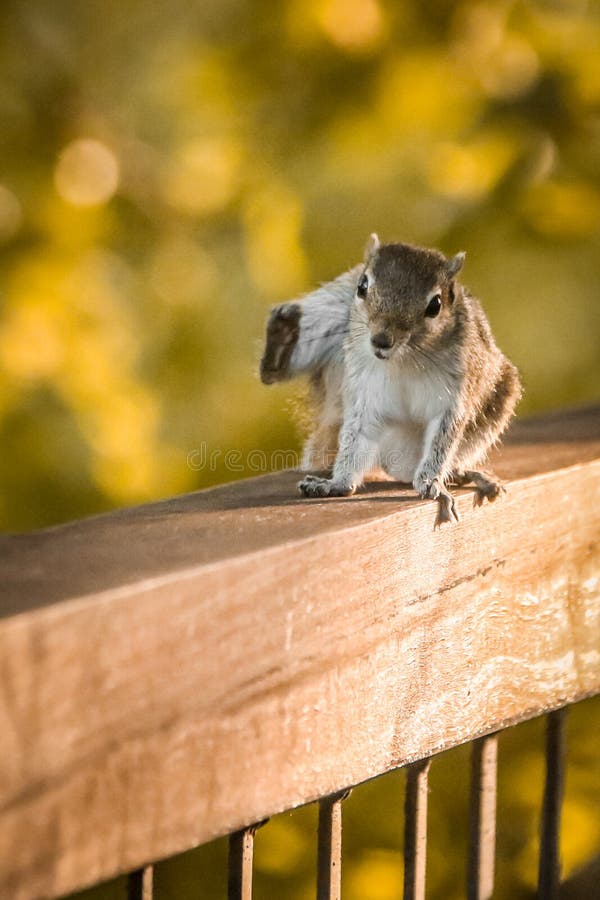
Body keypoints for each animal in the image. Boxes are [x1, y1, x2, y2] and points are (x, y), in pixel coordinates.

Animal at [260, 234, 521, 523]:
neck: (402, 360)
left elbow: (441, 441)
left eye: (435, 305)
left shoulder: (454, 395)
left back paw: (463, 474)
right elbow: (357, 438)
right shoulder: (365, 393)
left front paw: (431, 484)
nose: (382, 340)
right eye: (362, 286)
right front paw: (337, 484)